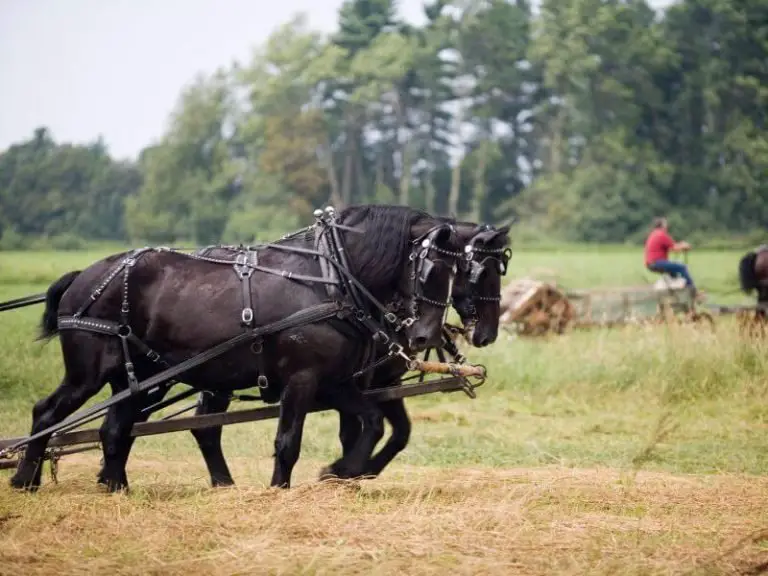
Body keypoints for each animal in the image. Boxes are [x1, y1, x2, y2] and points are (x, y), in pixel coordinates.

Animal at [12, 205, 464, 492]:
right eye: (429, 269)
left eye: (457, 271)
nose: (424, 337)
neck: (330, 278)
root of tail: (82, 276)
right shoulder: (302, 379)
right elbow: (288, 441)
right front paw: (283, 488)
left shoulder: (335, 382)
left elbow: (371, 422)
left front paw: (342, 471)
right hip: (88, 373)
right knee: (47, 413)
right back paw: (25, 479)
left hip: (139, 378)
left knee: (114, 427)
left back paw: (116, 486)